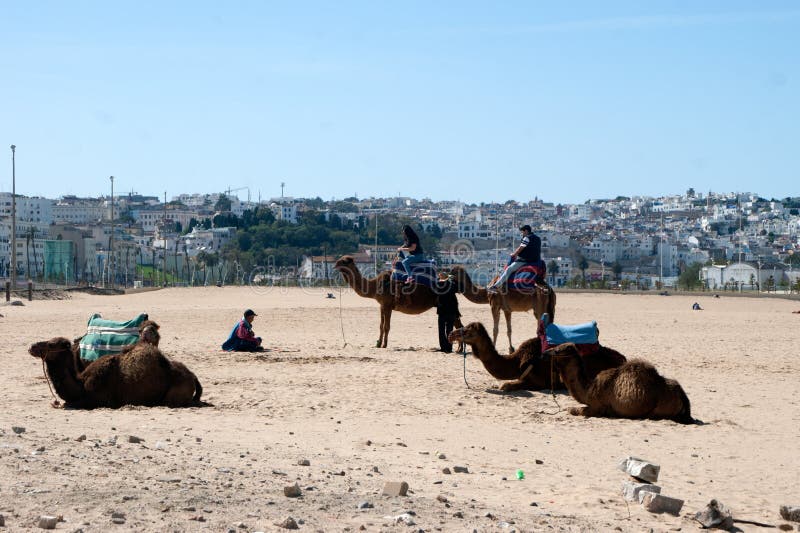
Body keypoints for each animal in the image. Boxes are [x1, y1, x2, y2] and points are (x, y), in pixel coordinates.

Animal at [29, 337, 202, 409]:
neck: (82, 384)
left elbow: (69, 403)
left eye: (51, 345)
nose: (32, 347)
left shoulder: (99, 400)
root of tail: (193, 376)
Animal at [448, 321, 626, 391]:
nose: (450, 334)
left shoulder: (538, 381)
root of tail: (623, 359)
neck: (517, 360)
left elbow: (505, 385)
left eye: (468, 330)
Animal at [547, 343, 693, 424]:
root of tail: (682, 396)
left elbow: (572, 410)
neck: (590, 389)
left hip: (660, 409)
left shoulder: (597, 407)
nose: (546, 352)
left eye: (557, 350)